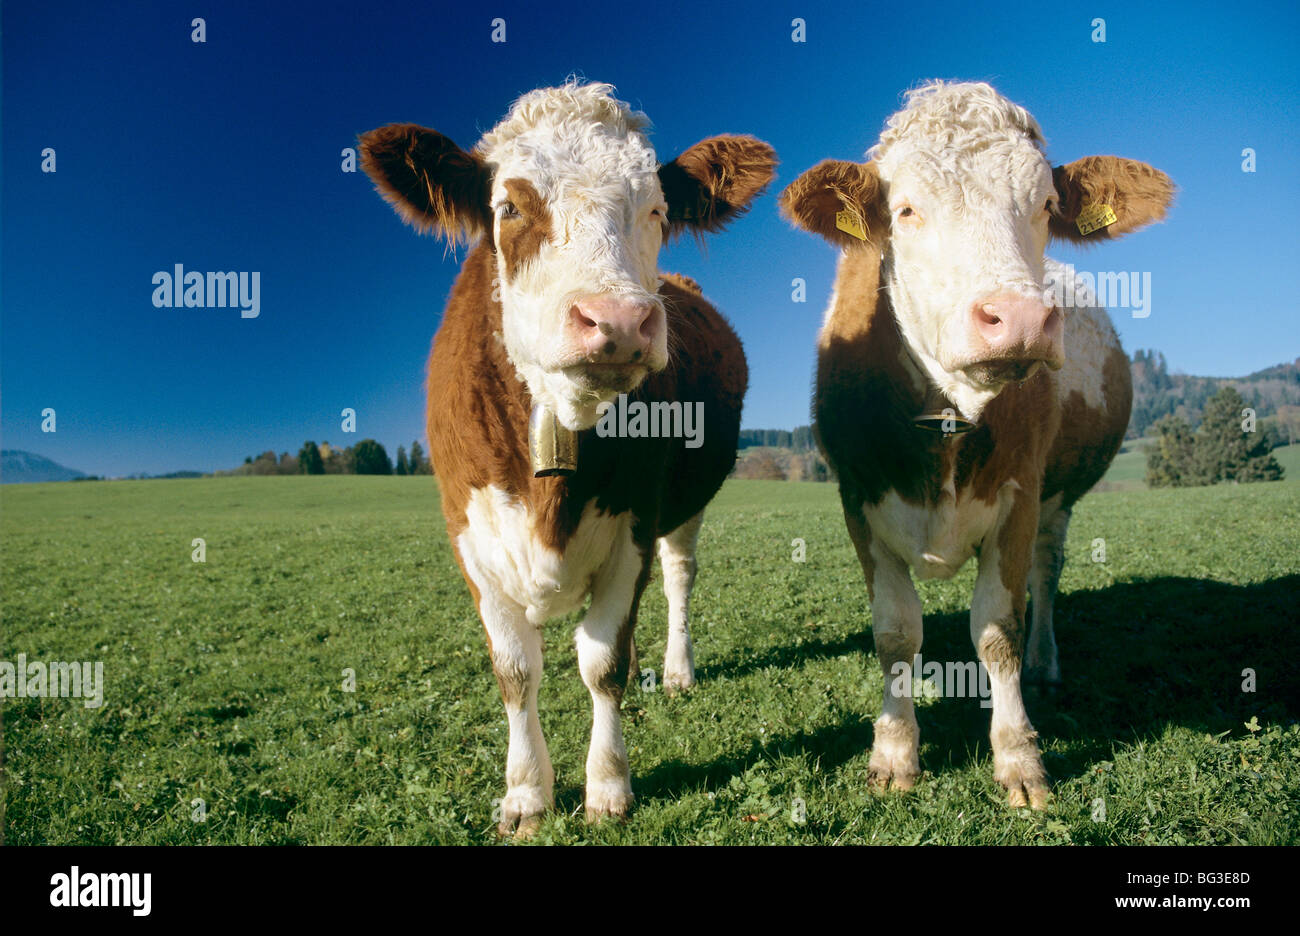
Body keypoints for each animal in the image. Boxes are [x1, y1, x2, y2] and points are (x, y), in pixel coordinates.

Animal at [359, 82, 775, 833]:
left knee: (678, 578)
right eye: (510, 207)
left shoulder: (633, 528)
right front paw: (526, 793)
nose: (618, 321)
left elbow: (600, 663)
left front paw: (607, 786)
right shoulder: (471, 541)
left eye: (657, 209)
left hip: (687, 509)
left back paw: (675, 670)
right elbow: (516, 671)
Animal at [780, 81, 1173, 808]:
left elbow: (998, 630)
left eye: (1045, 205)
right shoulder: (858, 500)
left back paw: (1047, 662)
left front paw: (1019, 757)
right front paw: (894, 752)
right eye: (905, 209)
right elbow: (896, 632)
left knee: (1047, 572)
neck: (946, 422)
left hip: (1057, 498)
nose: (1017, 318)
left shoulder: (1019, 496)